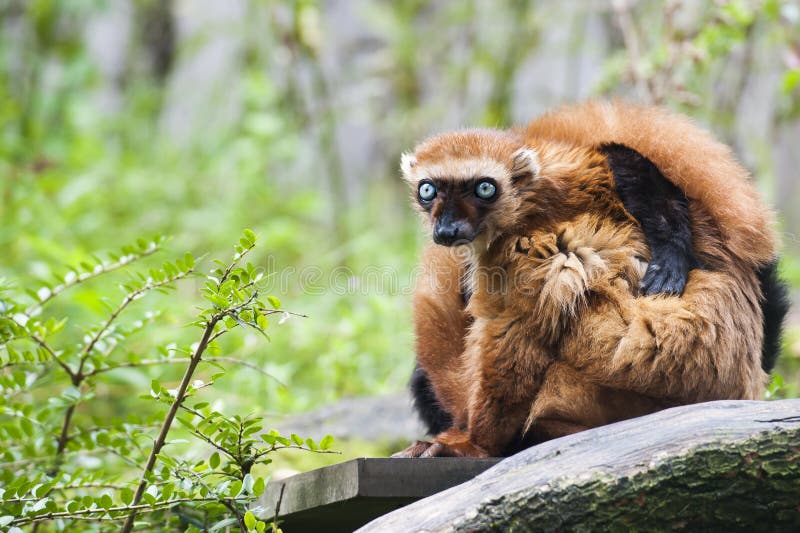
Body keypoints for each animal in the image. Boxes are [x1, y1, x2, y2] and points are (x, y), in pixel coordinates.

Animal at [395, 101, 789, 458]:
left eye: (484, 189)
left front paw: (473, 444)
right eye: (428, 191)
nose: (447, 228)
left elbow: (514, 337)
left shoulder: (525, 235)